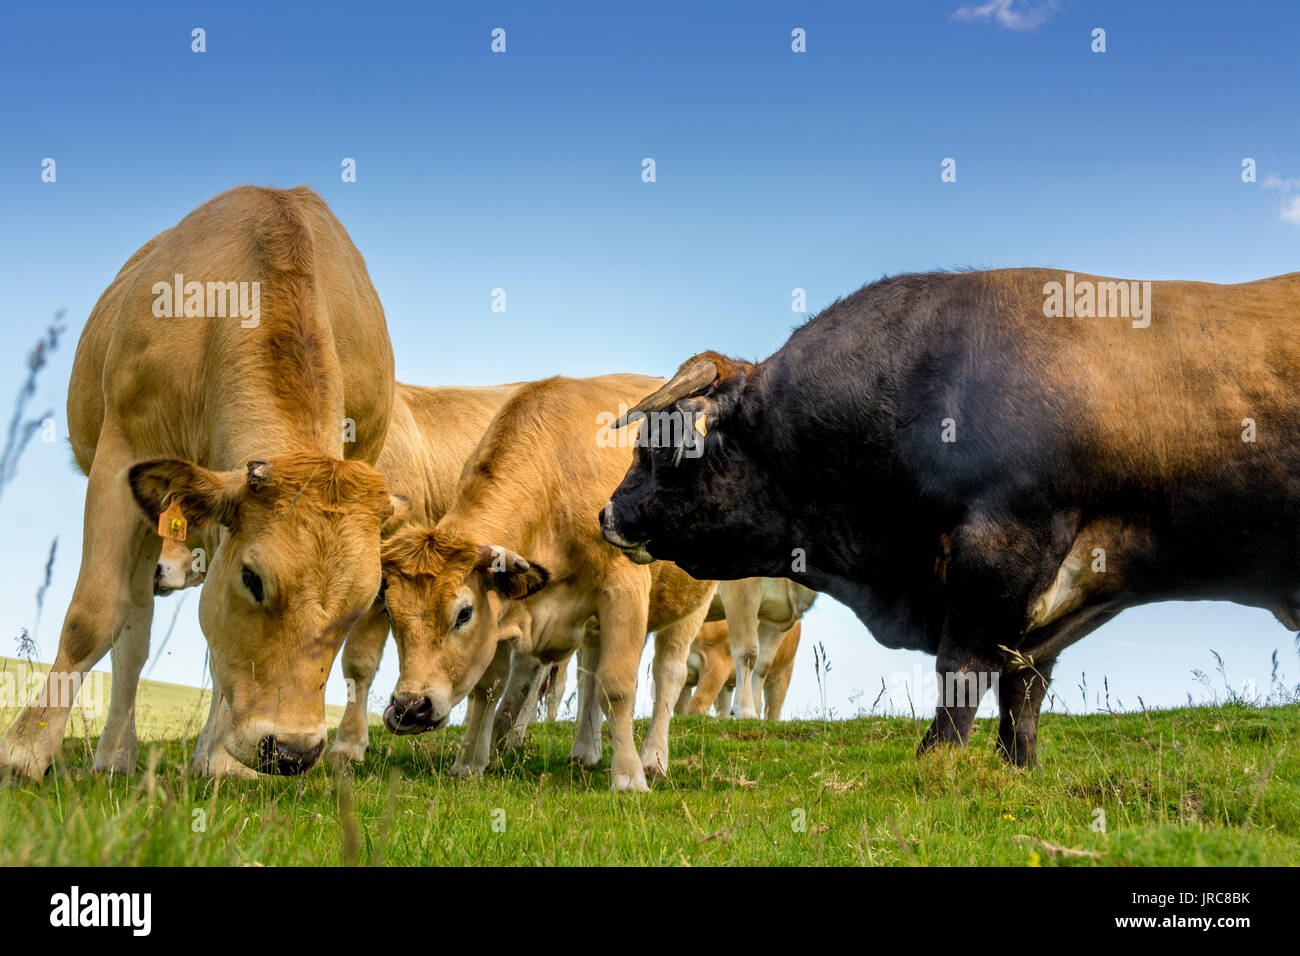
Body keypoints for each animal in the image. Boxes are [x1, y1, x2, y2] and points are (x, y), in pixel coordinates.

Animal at [0, 185, 398, 780]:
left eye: (364, 600)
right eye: (254, 579)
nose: (292, 751)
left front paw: (221, 761)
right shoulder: (124, 454)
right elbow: (94, 614)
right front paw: (26, 750)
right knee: (133, 631)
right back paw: (116, 755)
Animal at [378, 375, 717, 791]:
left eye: (463, 614)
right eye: (390, 614)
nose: (410, 708)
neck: (555, 481)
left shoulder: (623, 590)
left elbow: (618, 686)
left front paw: (629, 777)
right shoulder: (506, 609)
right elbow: (487, 688)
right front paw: (469, 762)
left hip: (692, 605)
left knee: (669, 674)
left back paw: (653, 759)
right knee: (589, 675)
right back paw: (585, 750)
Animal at [600, 268, 1300, 767]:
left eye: (658, 449)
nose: (608, 514)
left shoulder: (1003, 545)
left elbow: (965, 666)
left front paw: (934, 758)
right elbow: (1024, 682)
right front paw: (1018, 767)